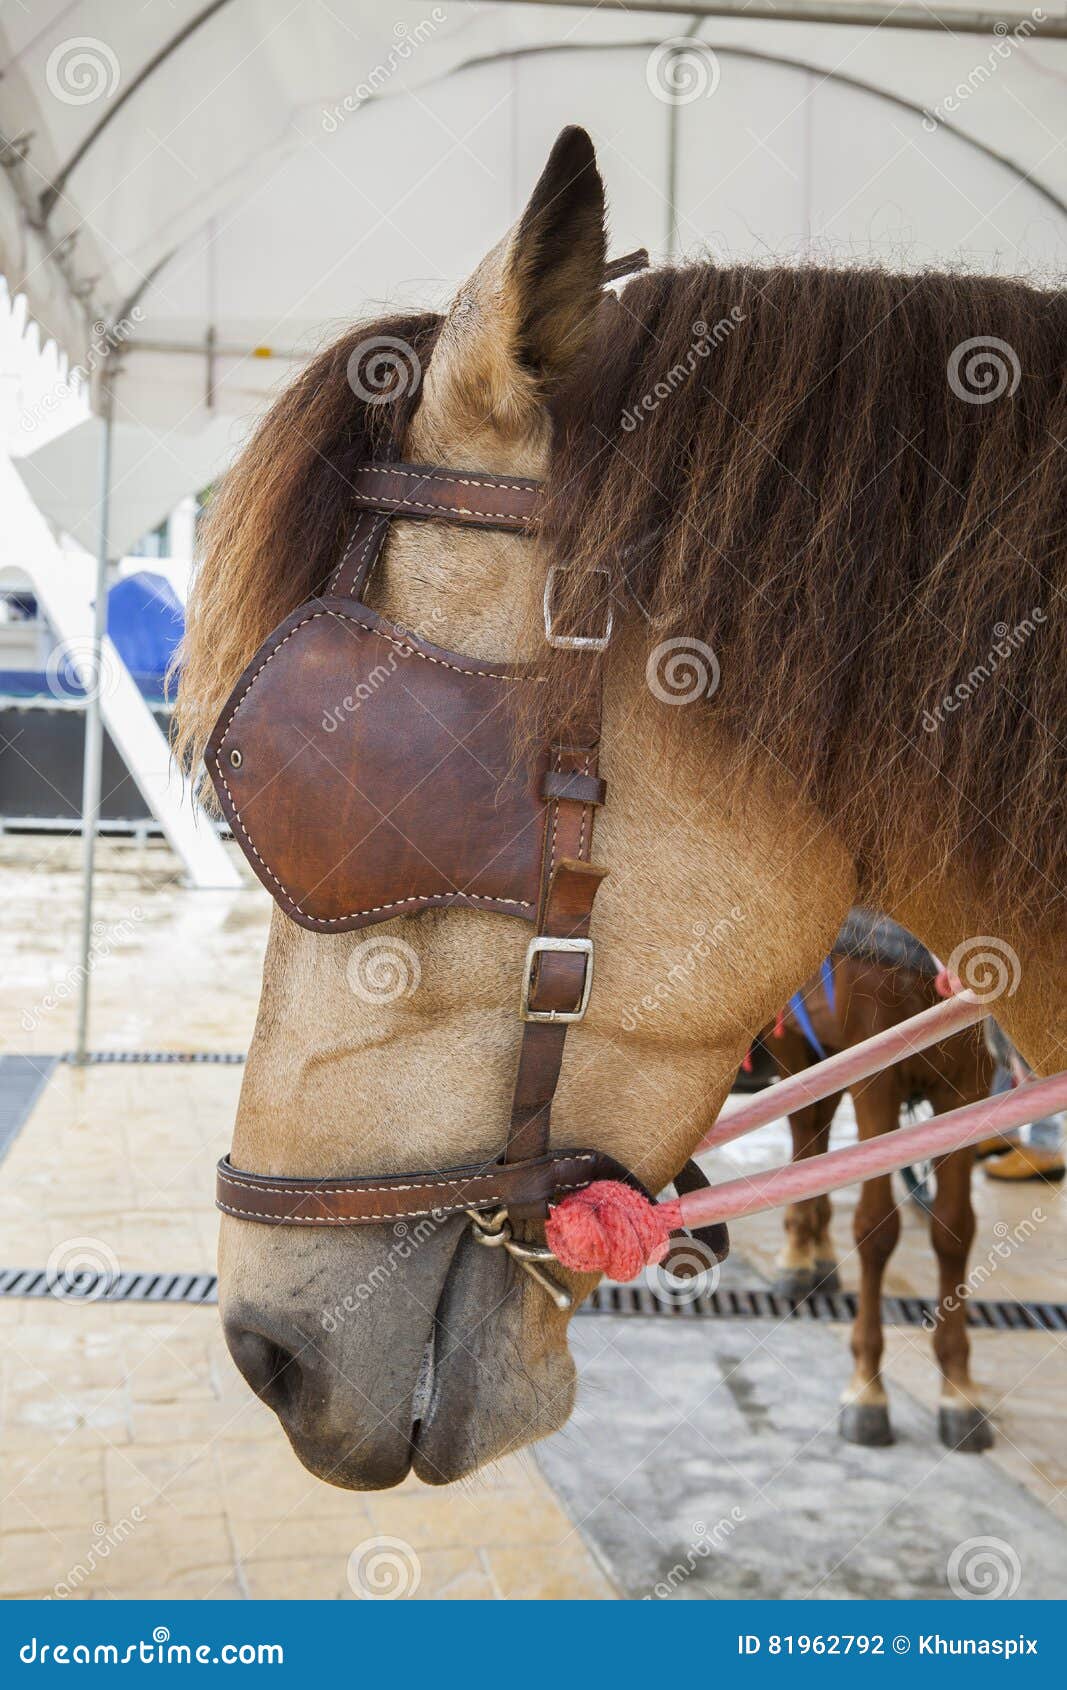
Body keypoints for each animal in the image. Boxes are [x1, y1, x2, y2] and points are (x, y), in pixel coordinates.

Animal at [761, 915, 995, 1453]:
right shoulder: (877, 1079)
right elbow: (875, 1230)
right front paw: (867, 1387)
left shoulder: (969, 1083)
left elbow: (954, 1230)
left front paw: (958, 1389)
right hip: (795, 1045)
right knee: (805, 1132)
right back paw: (797, 1254)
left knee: (819, 1134)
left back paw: (819, 1250)